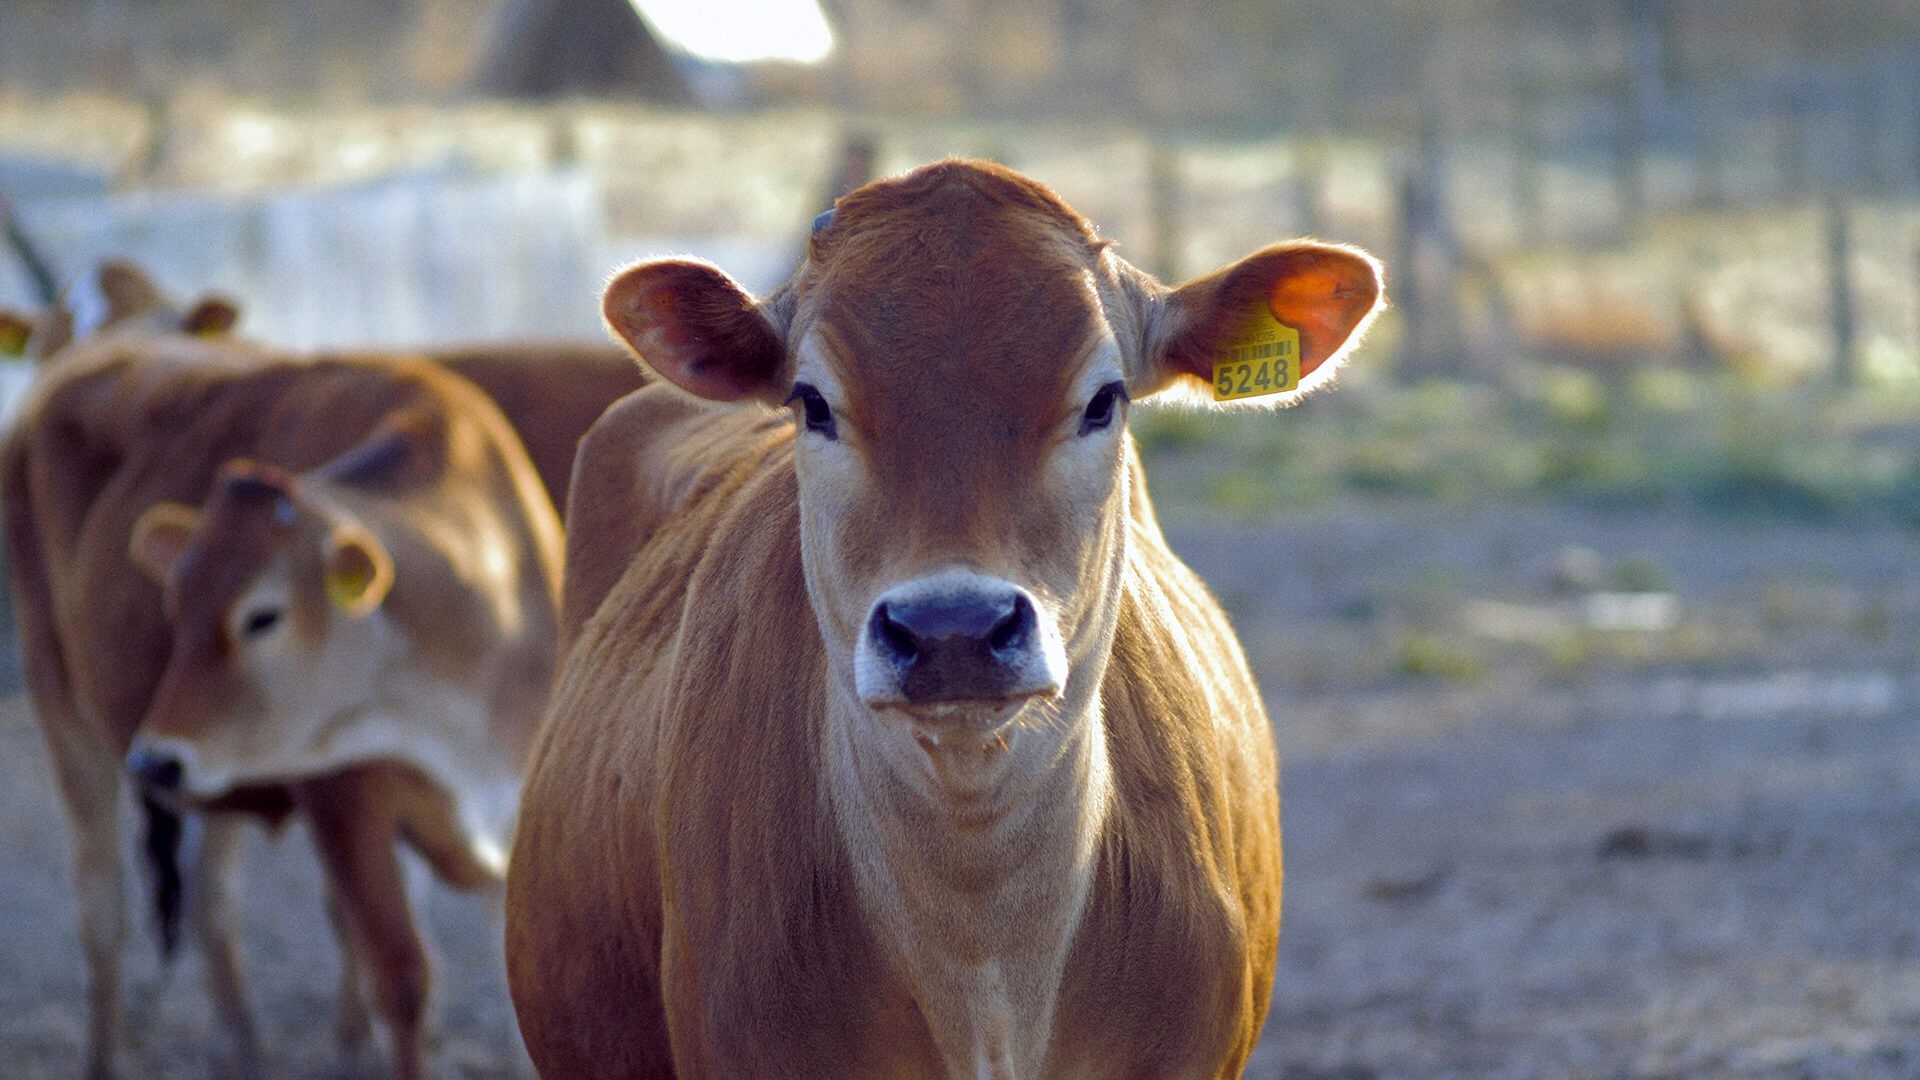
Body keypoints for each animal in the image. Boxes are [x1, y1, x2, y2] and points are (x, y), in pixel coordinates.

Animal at [2, 279, 567, 1079]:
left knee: (211, 902)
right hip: (63, 704)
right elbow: (400, 977)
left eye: (261, 616)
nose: (152, 758)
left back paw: (242, 1049)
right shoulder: (344, 799)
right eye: (174, 605)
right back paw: (106, 1057)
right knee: (101, 903)